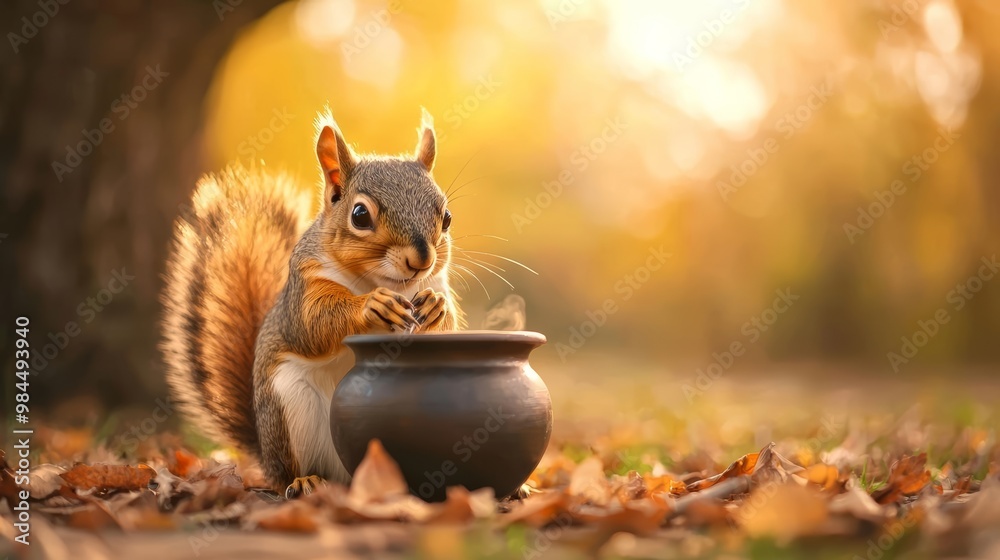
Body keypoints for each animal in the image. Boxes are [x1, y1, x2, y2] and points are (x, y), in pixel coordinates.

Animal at [161, 110, 464, 498]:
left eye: (447, 217)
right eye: (360, 215)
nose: (422, 259)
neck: (378, 280)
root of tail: (265, 455)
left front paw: (437, 306)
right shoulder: (305, 282)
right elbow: (313, 324)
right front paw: (371, 306)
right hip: (291, 407)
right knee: (289, 475)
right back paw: (304, 481)